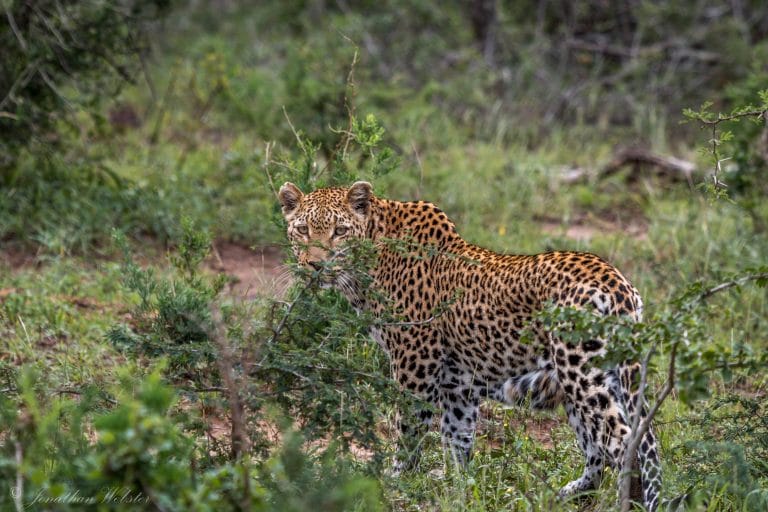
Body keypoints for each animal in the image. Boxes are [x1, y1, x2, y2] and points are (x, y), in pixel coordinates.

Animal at [278, 181, 662, 510]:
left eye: (340, 231)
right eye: (303, 230)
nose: (315, 265)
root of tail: (616, 283)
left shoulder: (415, 368)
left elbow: (407, 434)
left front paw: (394, 485)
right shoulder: (457, 386)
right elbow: (458, 443)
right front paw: (460, 492)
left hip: (583, 377)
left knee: (623, 444)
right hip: (593, 382)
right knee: (610, 449)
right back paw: (563, 496)